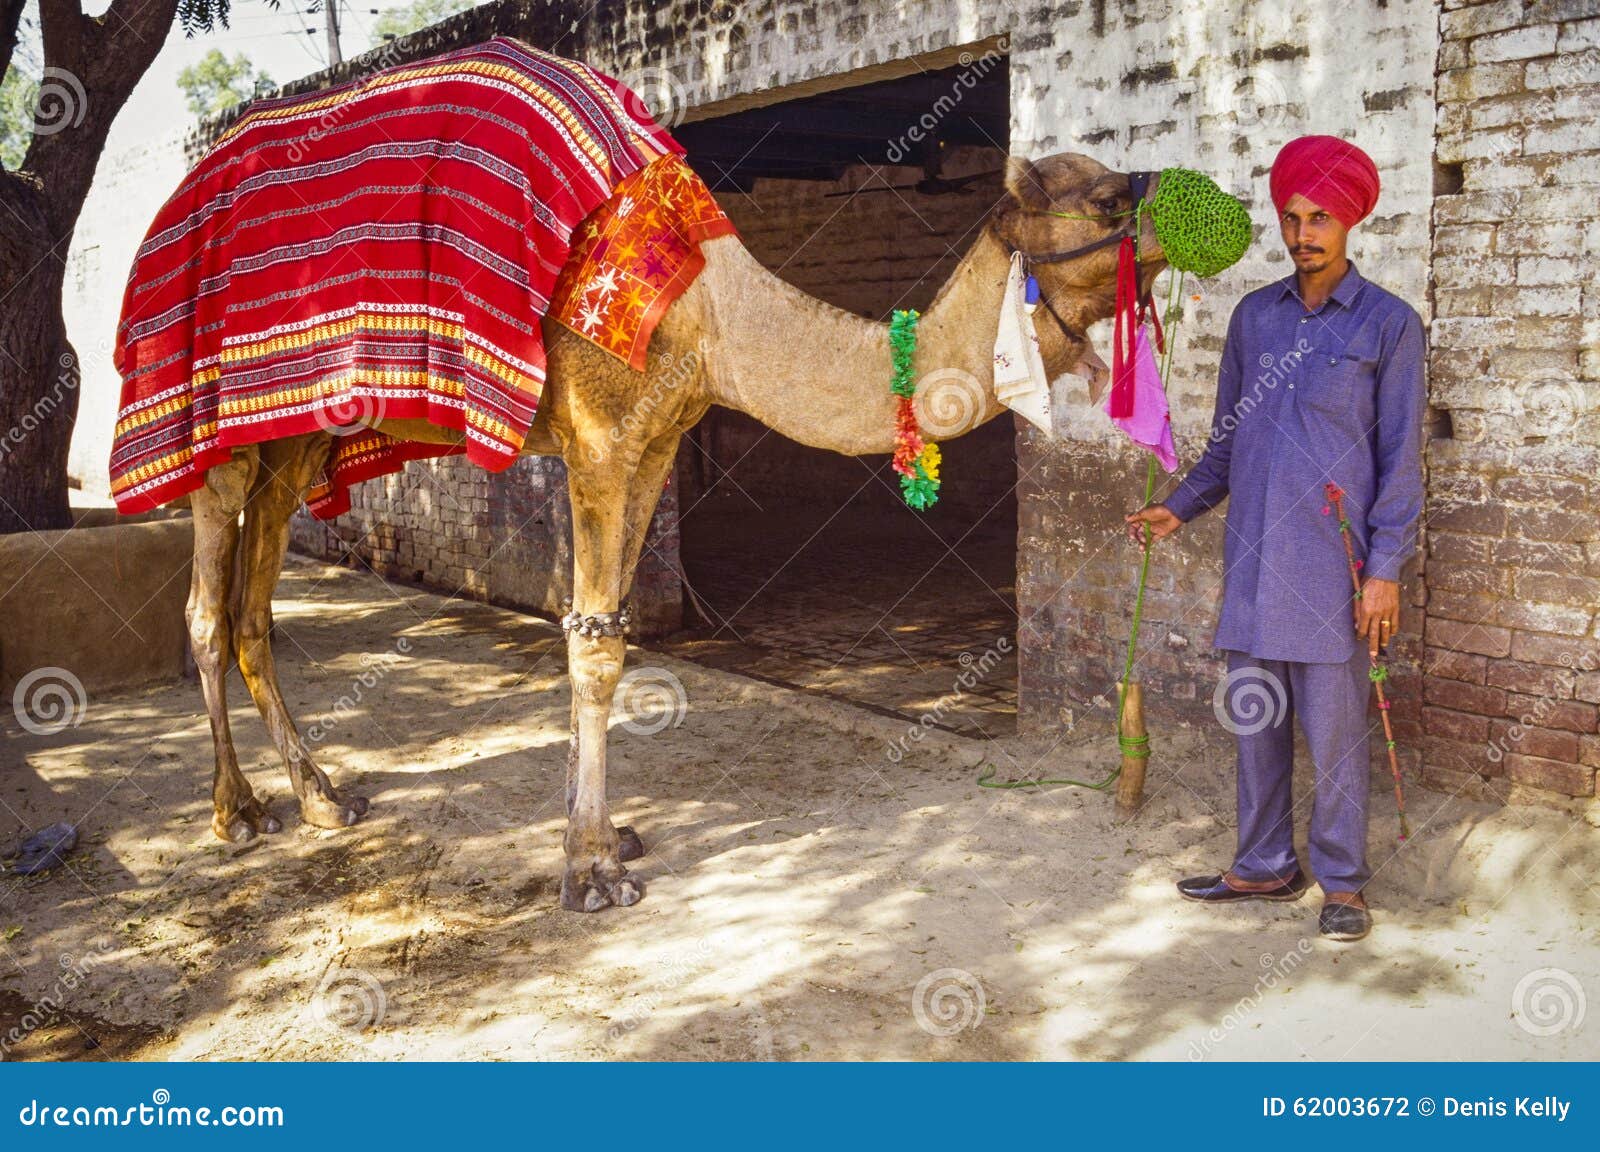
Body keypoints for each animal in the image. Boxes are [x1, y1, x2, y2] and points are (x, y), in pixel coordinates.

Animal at [185, 152, 1167, 911]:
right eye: (1109, 198)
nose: (1188, 203)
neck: (713, 318)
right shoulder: (596, 434)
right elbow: (590, 644)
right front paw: (589, 874)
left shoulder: (655, 441)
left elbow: (613, 627)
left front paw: (605, 836)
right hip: (224, 432)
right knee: (205, 606)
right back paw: (238, 813)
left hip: (300, 438)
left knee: (253, 609)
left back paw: (322, 799)